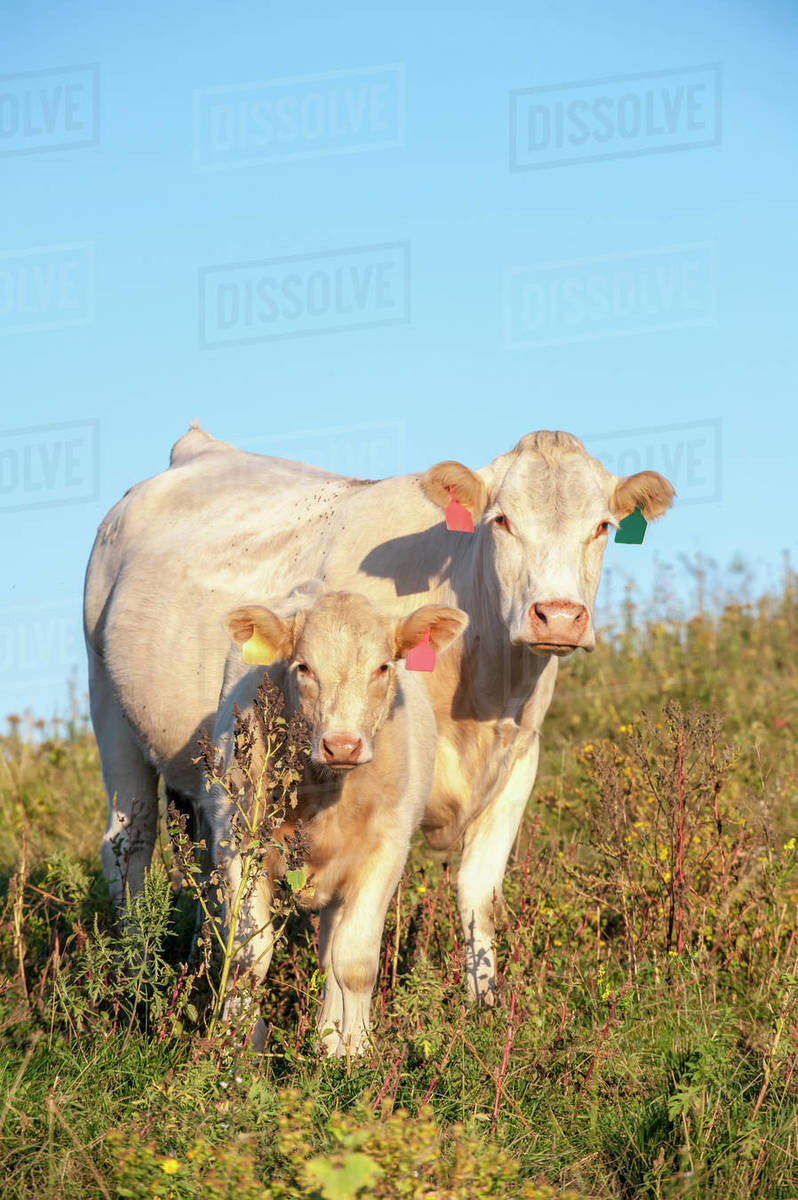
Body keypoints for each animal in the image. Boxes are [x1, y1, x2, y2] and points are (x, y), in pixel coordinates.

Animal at [84, 424, 674, 1005]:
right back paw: (133, 986)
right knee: (128, 848)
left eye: (602, 527)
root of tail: (199, 446)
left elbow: (478, 897)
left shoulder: (518, 761)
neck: (481, 697)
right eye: (502, 520)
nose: (559, 616)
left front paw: (481, 1012)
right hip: (110, 713)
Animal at [206, 588, 468, 1056]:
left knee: (332, 955)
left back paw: (331, 1041)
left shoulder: (385, 854)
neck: (324, 794)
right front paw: (237, 1052)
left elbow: (355, 963)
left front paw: (356, 1052)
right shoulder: (235, 842)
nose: (342, 745)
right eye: (303, 667)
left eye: (383, 667)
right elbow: (248, 957)